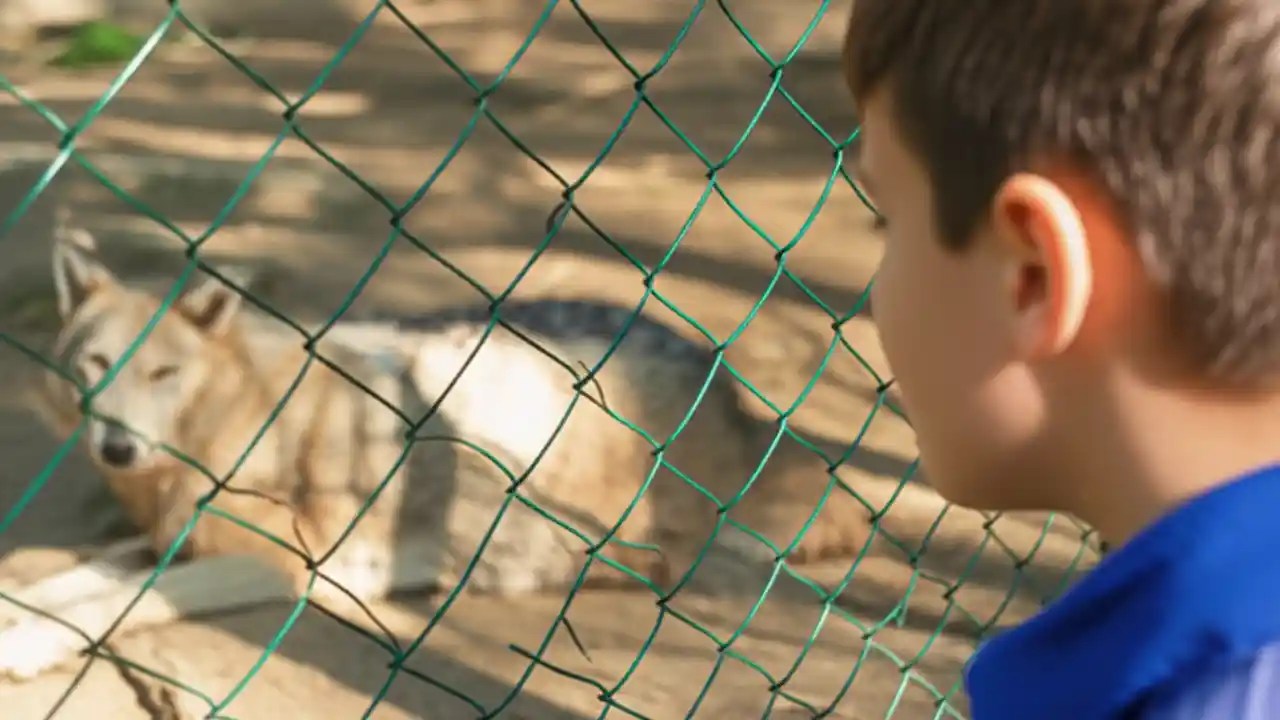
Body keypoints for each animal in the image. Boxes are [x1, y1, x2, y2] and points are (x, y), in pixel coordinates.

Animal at [0, 221, 880, 680]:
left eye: (162, 372)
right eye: (94, 365)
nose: (116, 447)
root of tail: (724, 380)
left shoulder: (275, 565)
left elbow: (113, 605)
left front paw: (27, 646)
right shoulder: (161, 541)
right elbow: (75, 583)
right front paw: (25, 616)